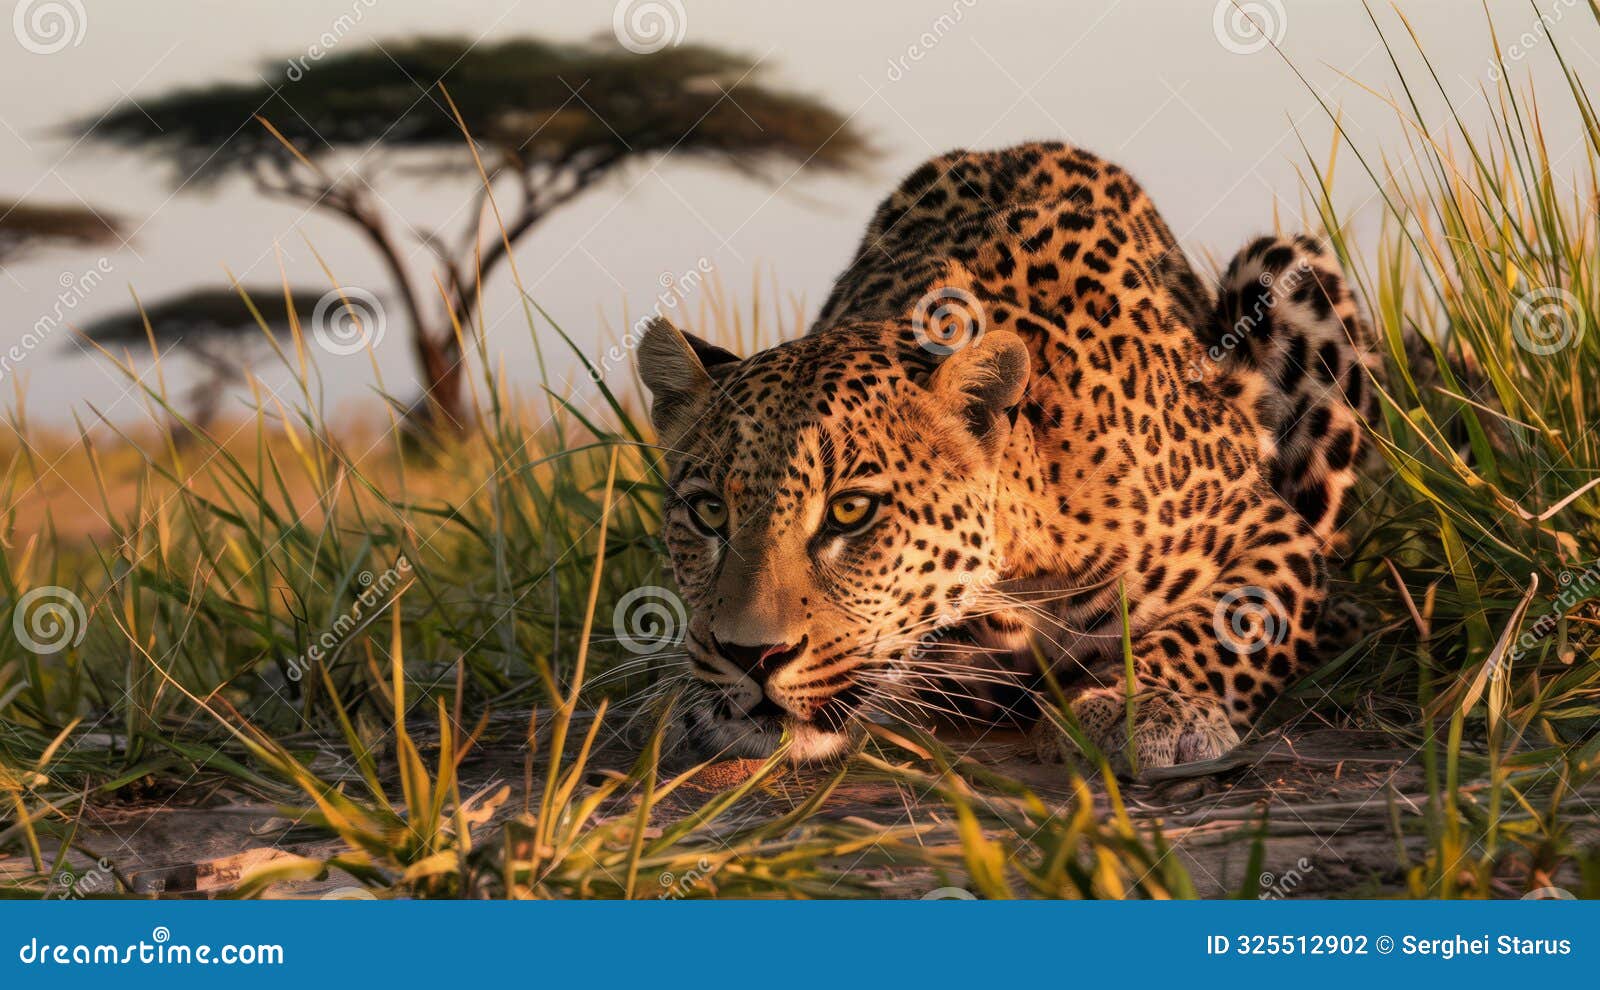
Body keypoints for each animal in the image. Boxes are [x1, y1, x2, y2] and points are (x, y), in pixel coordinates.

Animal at [636, 141, 1374, 770]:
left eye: (850, 512)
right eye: (708, 514)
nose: (751, 656)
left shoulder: (1266, 528)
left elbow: (1231, 621)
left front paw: (1148, 706)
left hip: (1285, 268)